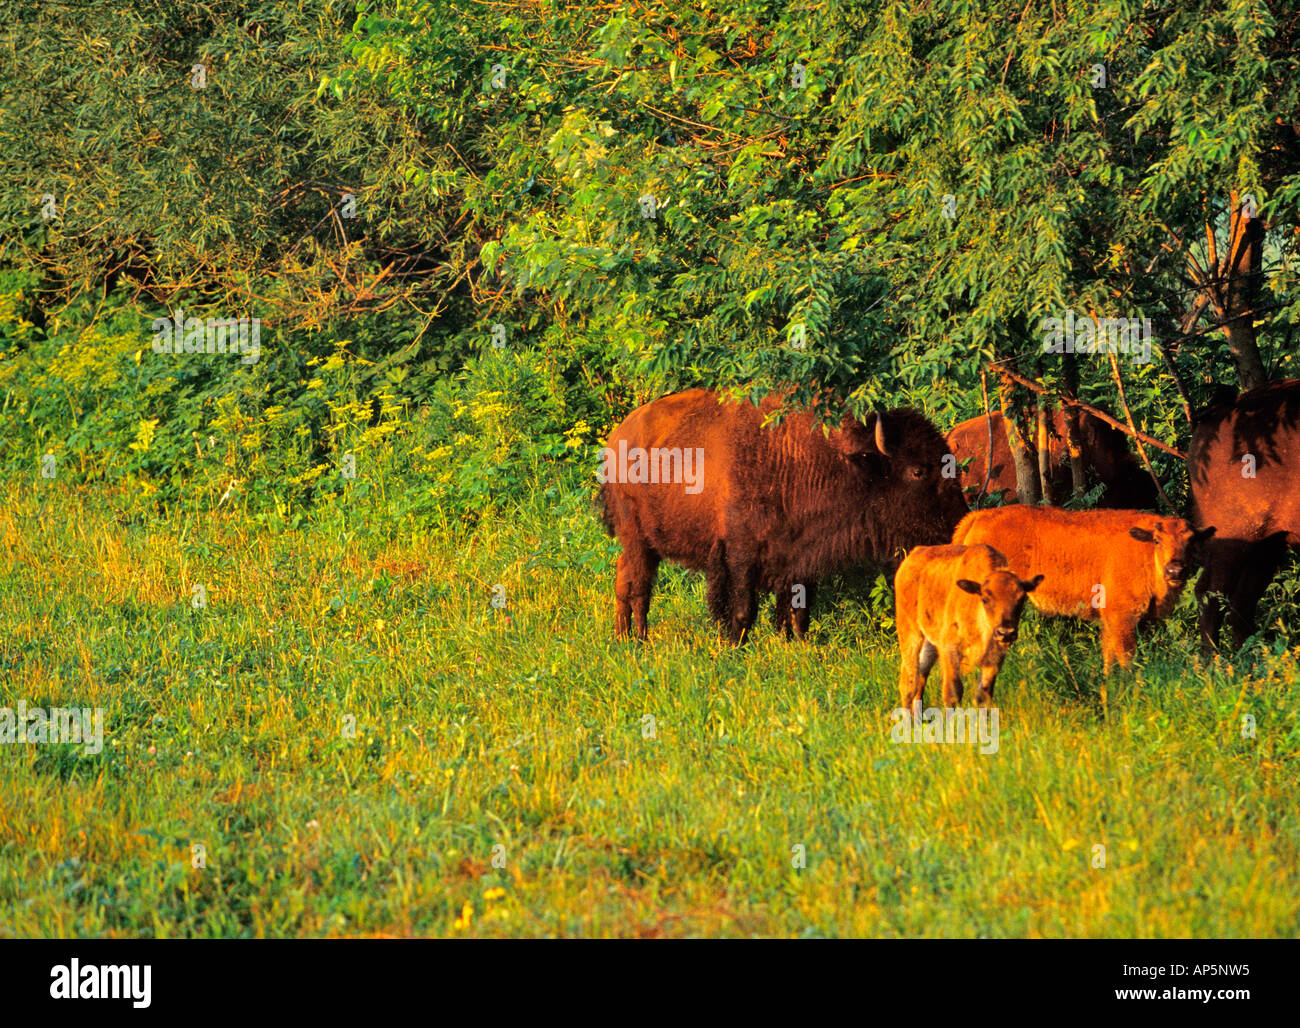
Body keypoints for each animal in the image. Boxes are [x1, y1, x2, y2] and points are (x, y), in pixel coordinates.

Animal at [599, 389, 969, 642]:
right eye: (918, 471)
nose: (956, 524)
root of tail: (619, 436)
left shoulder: (799, 557)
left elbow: (798, 609)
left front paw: (796, 644)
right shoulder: (740, 555)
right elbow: (742, 610)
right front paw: (734, 648)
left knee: (627, 580)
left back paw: (629, 637)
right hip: (637, 539)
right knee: (636, 585)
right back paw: (635, 639)